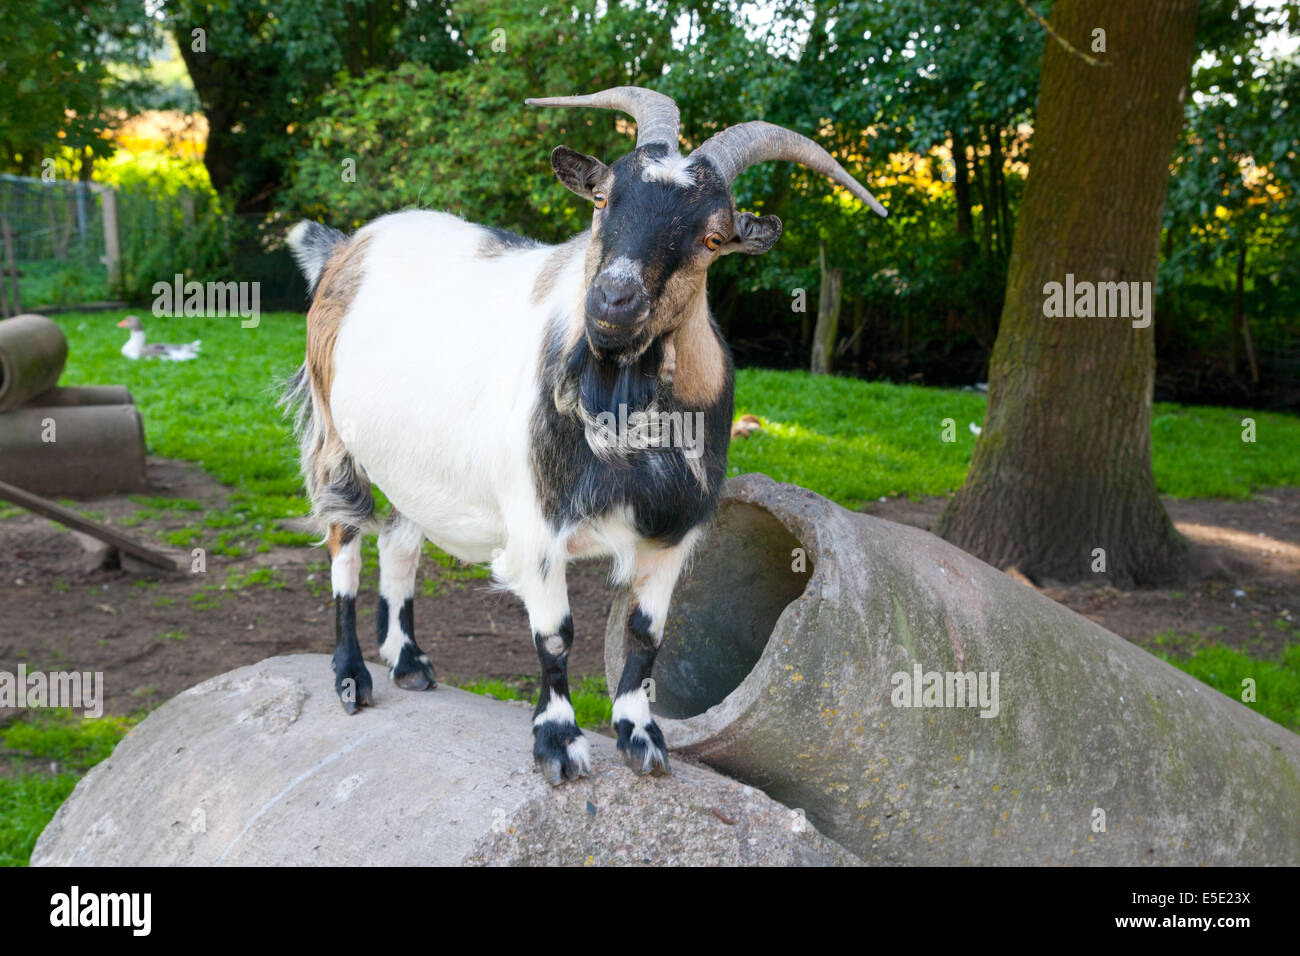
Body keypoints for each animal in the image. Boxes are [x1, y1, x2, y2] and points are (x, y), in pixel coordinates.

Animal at [284, 87, 885, 784]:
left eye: (713, 237)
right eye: (602, 200)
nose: (612, 302)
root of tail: (345, 245)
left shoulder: (676, 531)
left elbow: (647, 634)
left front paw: (641, 737)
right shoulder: (538, 523)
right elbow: (555, 635)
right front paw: (559, 744)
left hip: (418, 465)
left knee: (400, 543)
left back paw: (409, 663)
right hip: (333, 438)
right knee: (344, 543)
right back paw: (351, 677)